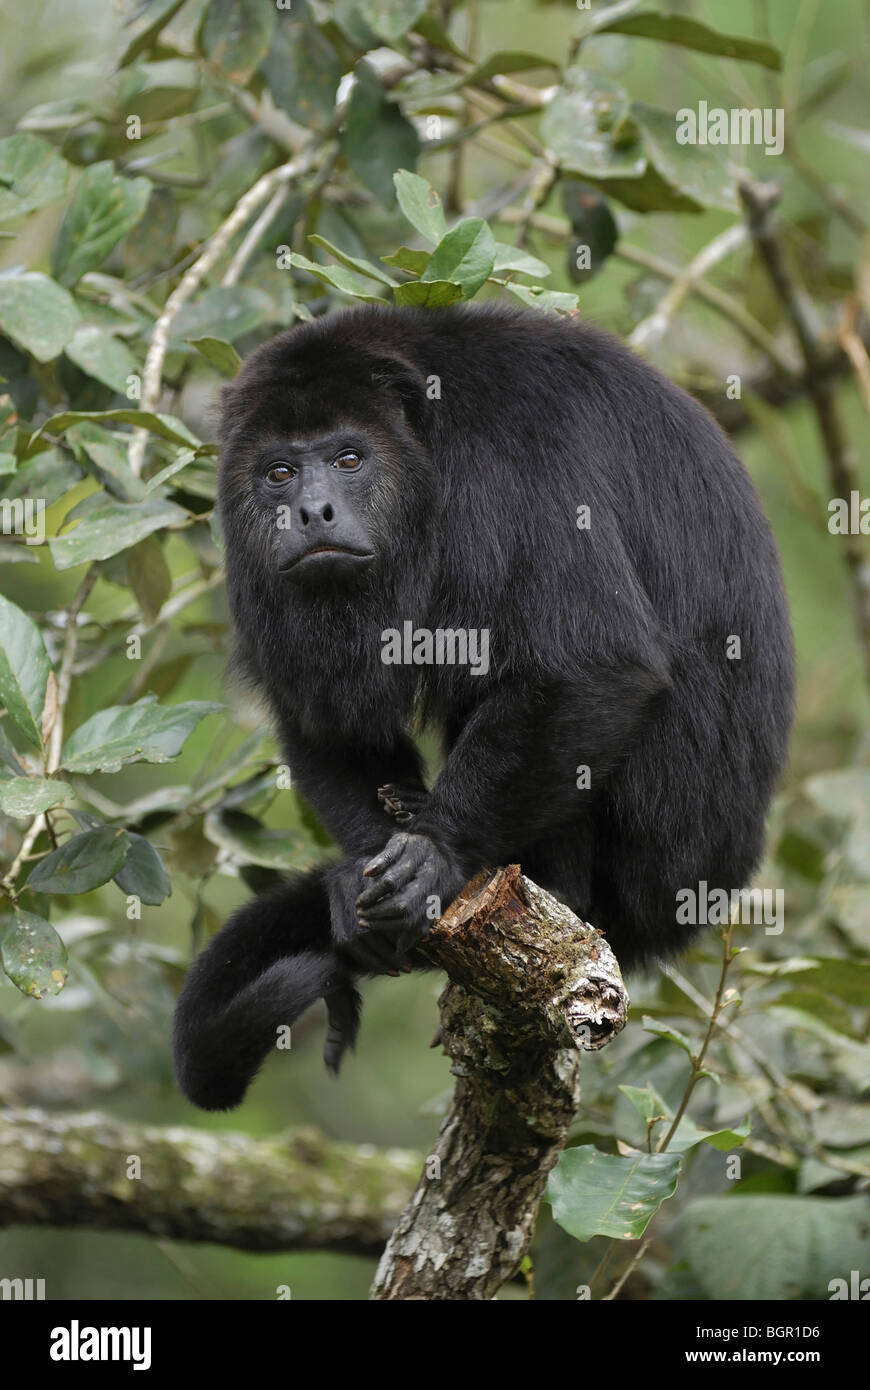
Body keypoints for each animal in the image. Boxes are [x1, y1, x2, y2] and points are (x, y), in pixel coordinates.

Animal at [172, 302, 794, 1110]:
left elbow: (593, 664)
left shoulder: (517, 457)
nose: (310, 510)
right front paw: (359, 880)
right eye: (278, 472)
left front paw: (438, 856)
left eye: (348, 460)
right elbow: (326, 721)